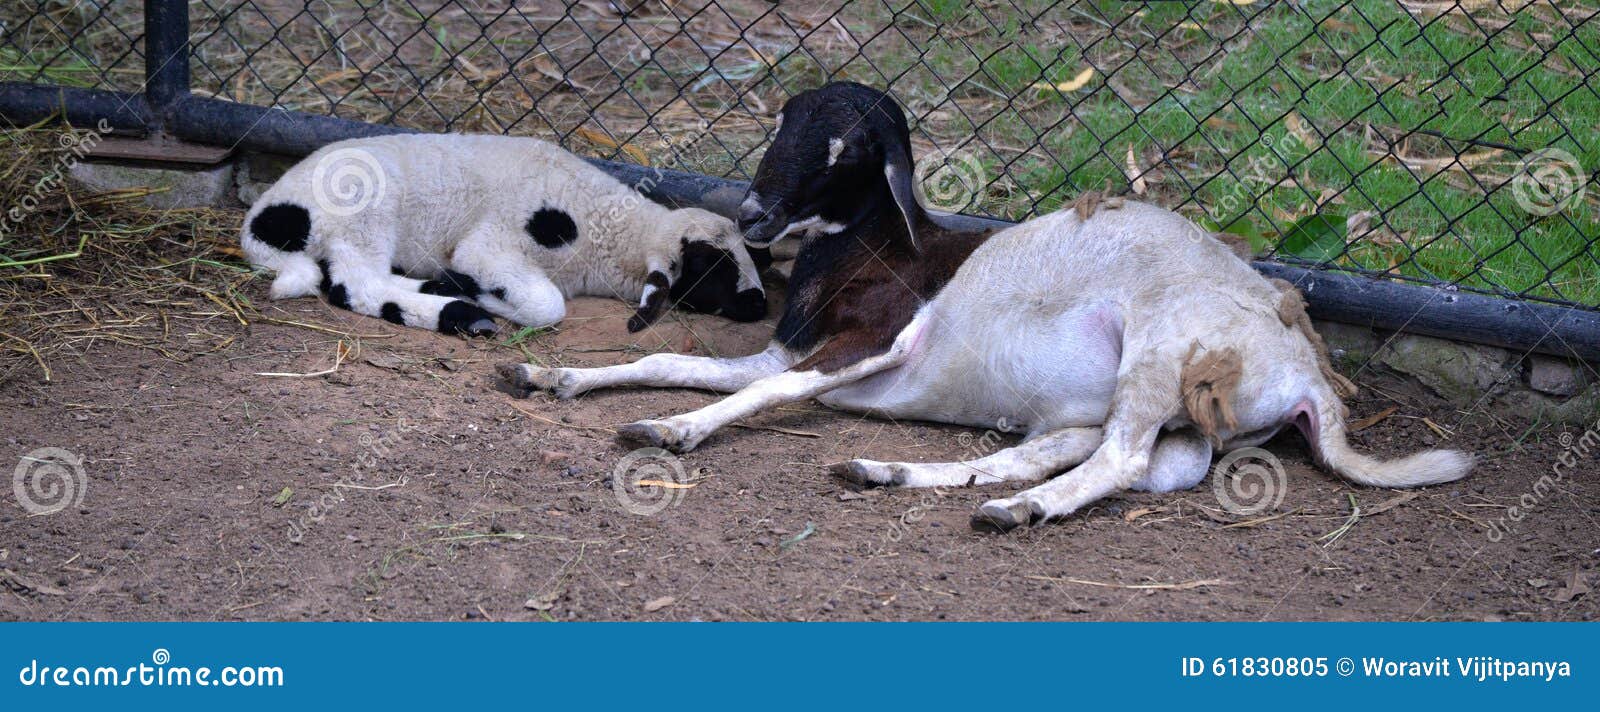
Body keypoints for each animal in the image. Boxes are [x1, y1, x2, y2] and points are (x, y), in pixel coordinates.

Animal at [241, 134, 767, 337]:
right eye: (712, 268)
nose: (760, 305)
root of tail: (265, 219)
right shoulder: (490, 246)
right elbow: (546, 306)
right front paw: (478, 296)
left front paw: (456, 285)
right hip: (365, 214)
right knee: (355, 284)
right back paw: (460, 313)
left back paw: (438, 288)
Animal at [500, 82, 1472, 531]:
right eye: (784, 121)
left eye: (847, 142)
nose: (754, 215)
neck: (876, 247)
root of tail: (1308, 375)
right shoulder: (790, 348)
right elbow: (681, 360)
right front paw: (551, 377)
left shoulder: (866, 345)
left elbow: (756, 393)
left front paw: (669, 433)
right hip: (1172, 425)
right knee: (1063, 460)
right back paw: (888, 474)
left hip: (1161, 358)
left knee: (1117, 462)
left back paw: (1012, 514)